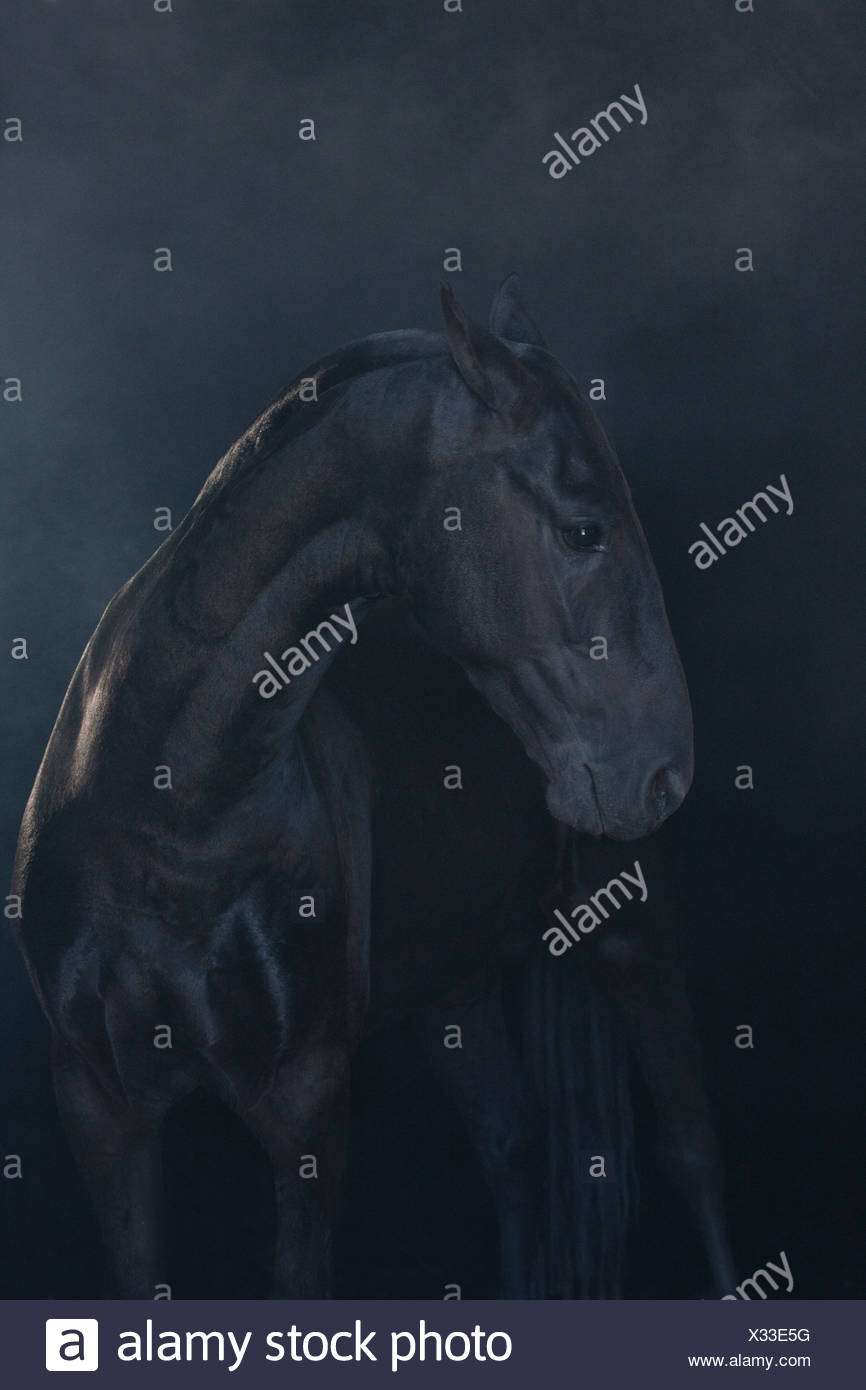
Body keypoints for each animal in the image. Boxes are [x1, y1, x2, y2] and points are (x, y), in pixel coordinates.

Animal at [11, 276, 735, 1298]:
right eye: (583, 530)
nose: (663, 772)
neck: (171, 813)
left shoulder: (307, 1103)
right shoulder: (100, 1105)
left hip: (634, 937)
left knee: (692, 1150)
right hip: (454, 988)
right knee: (513, 1146)